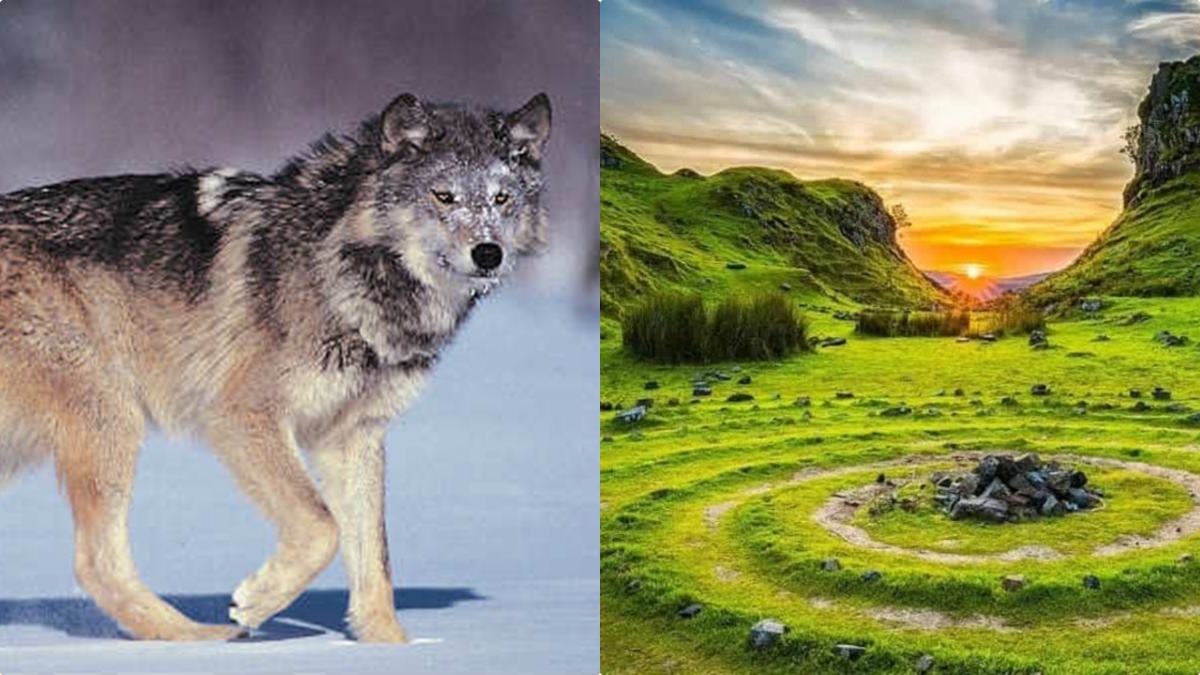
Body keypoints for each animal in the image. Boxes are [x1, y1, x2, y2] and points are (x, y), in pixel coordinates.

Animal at [0, 91, 551, 642]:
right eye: (443, 196)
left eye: (501, 199)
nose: (488, 252)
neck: (343, 272)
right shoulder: (244, 416)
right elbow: (323, 527)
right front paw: (257, 602)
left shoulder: (353, 436)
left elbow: (375, 563)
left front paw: (391, 646)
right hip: (111, 418)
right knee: (96, 563)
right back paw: (203, 638)